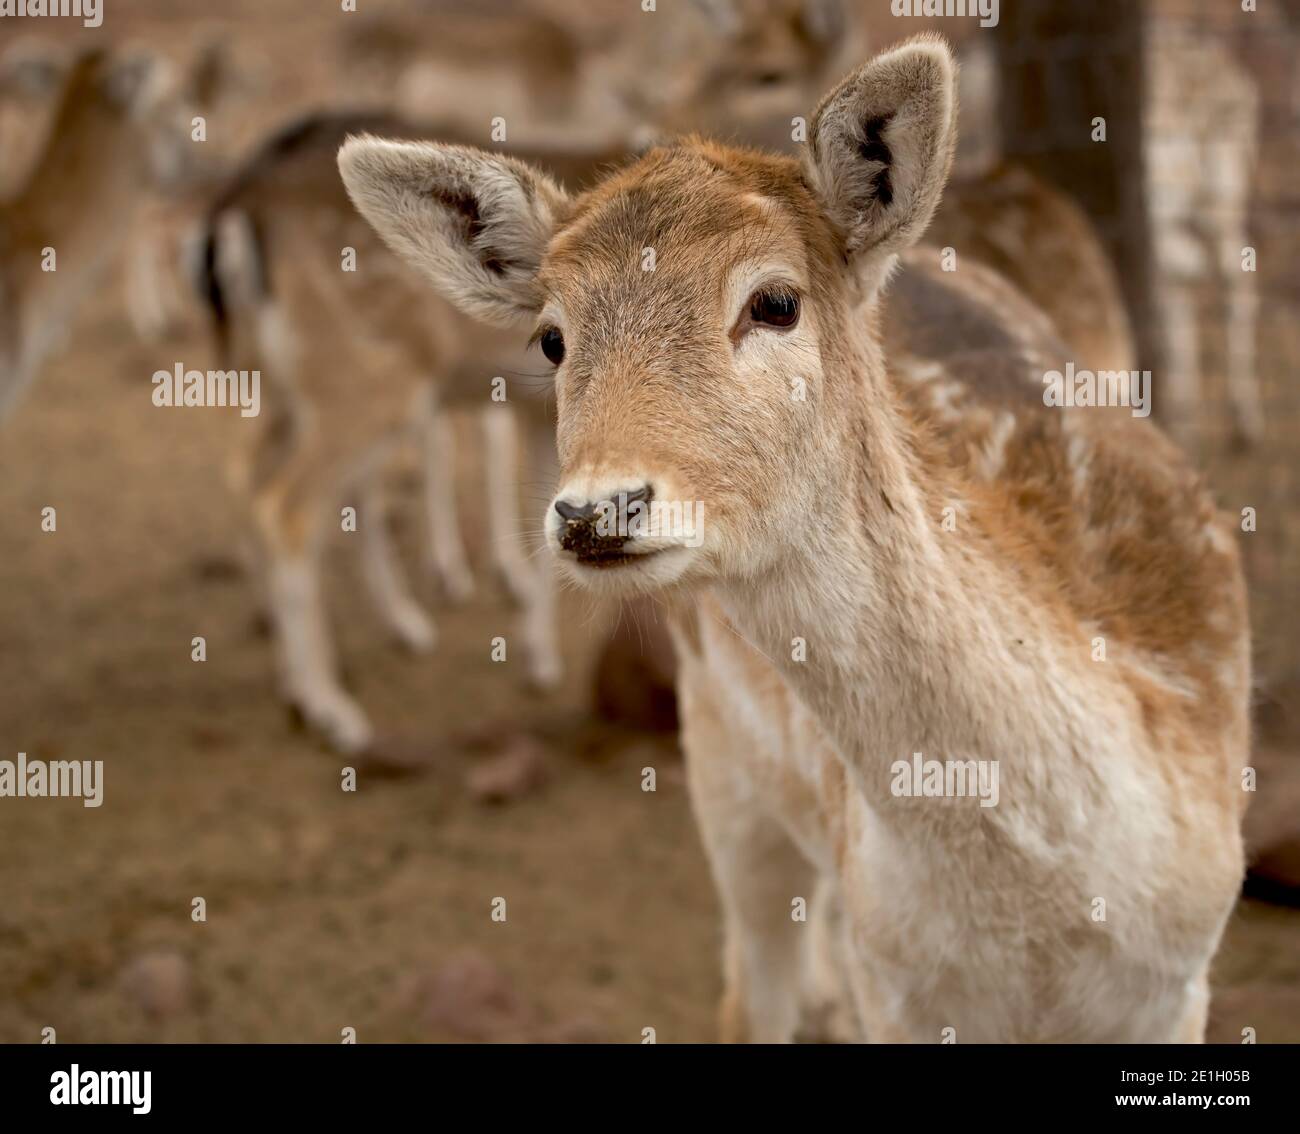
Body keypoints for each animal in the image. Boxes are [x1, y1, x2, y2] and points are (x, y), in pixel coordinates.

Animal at [340, 35, 1251, 1042]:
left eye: (775, 302)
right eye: (551, 338)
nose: (596, 511)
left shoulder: (1182, 977)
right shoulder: (891, 978)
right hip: (721, 769)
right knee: (750, 985)